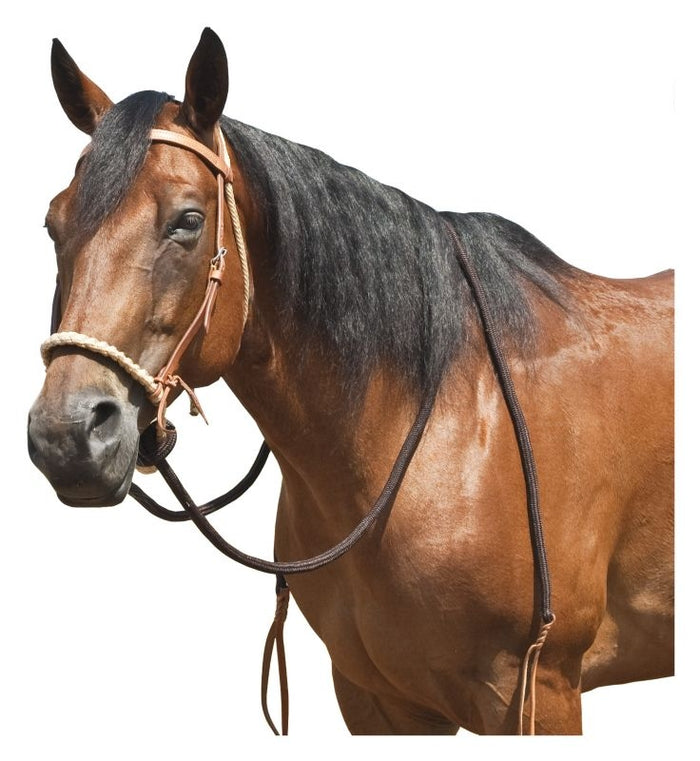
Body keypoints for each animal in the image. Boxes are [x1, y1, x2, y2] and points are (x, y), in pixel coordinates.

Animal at [27, 28, 674, 735]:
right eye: (53, 224)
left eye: (188, 221)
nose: (67, 434)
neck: (446, 426)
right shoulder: (376, 698)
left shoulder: (538, 689)